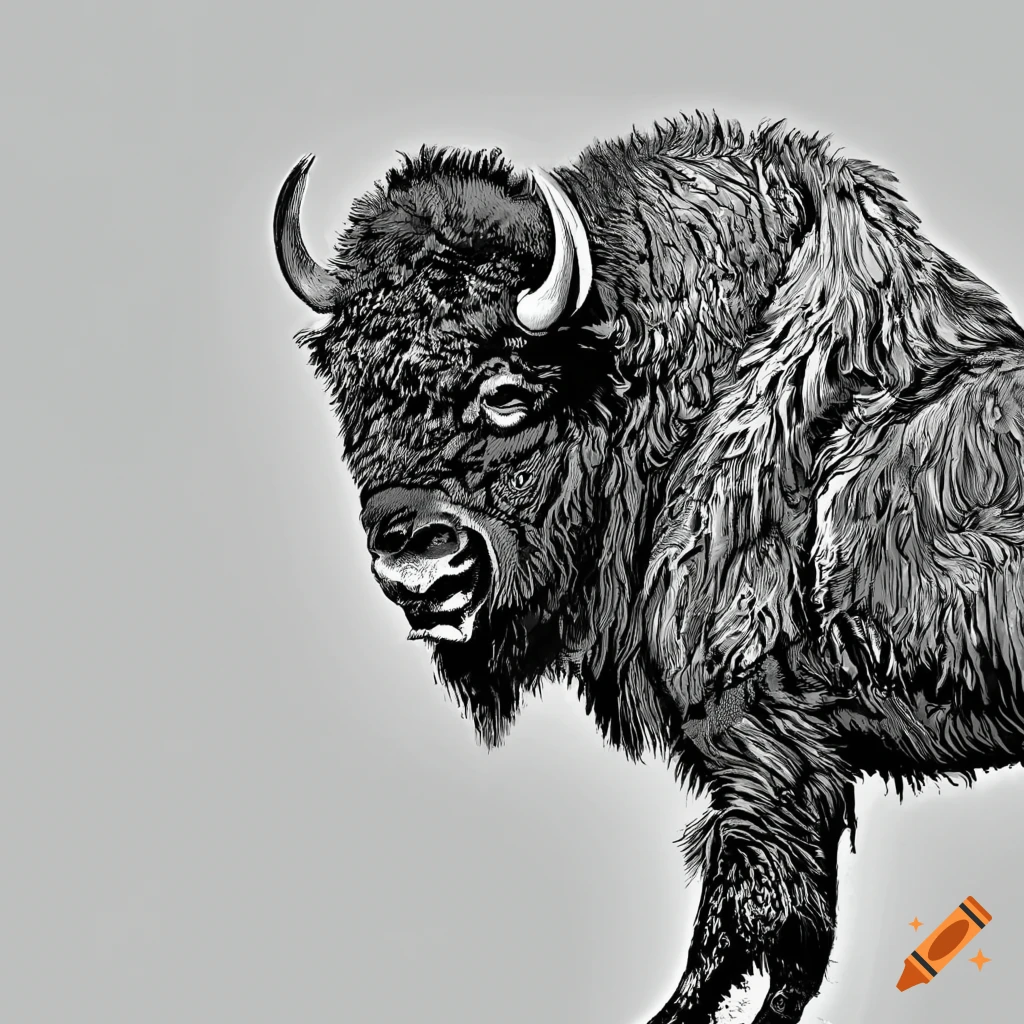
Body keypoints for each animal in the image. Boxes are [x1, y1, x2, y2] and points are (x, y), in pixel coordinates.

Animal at [272, 112, 1024, 1023]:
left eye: (506, 392)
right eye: (353, 387)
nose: (416, 555)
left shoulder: (758, 746)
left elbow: (751, 919)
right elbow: (796, 935)